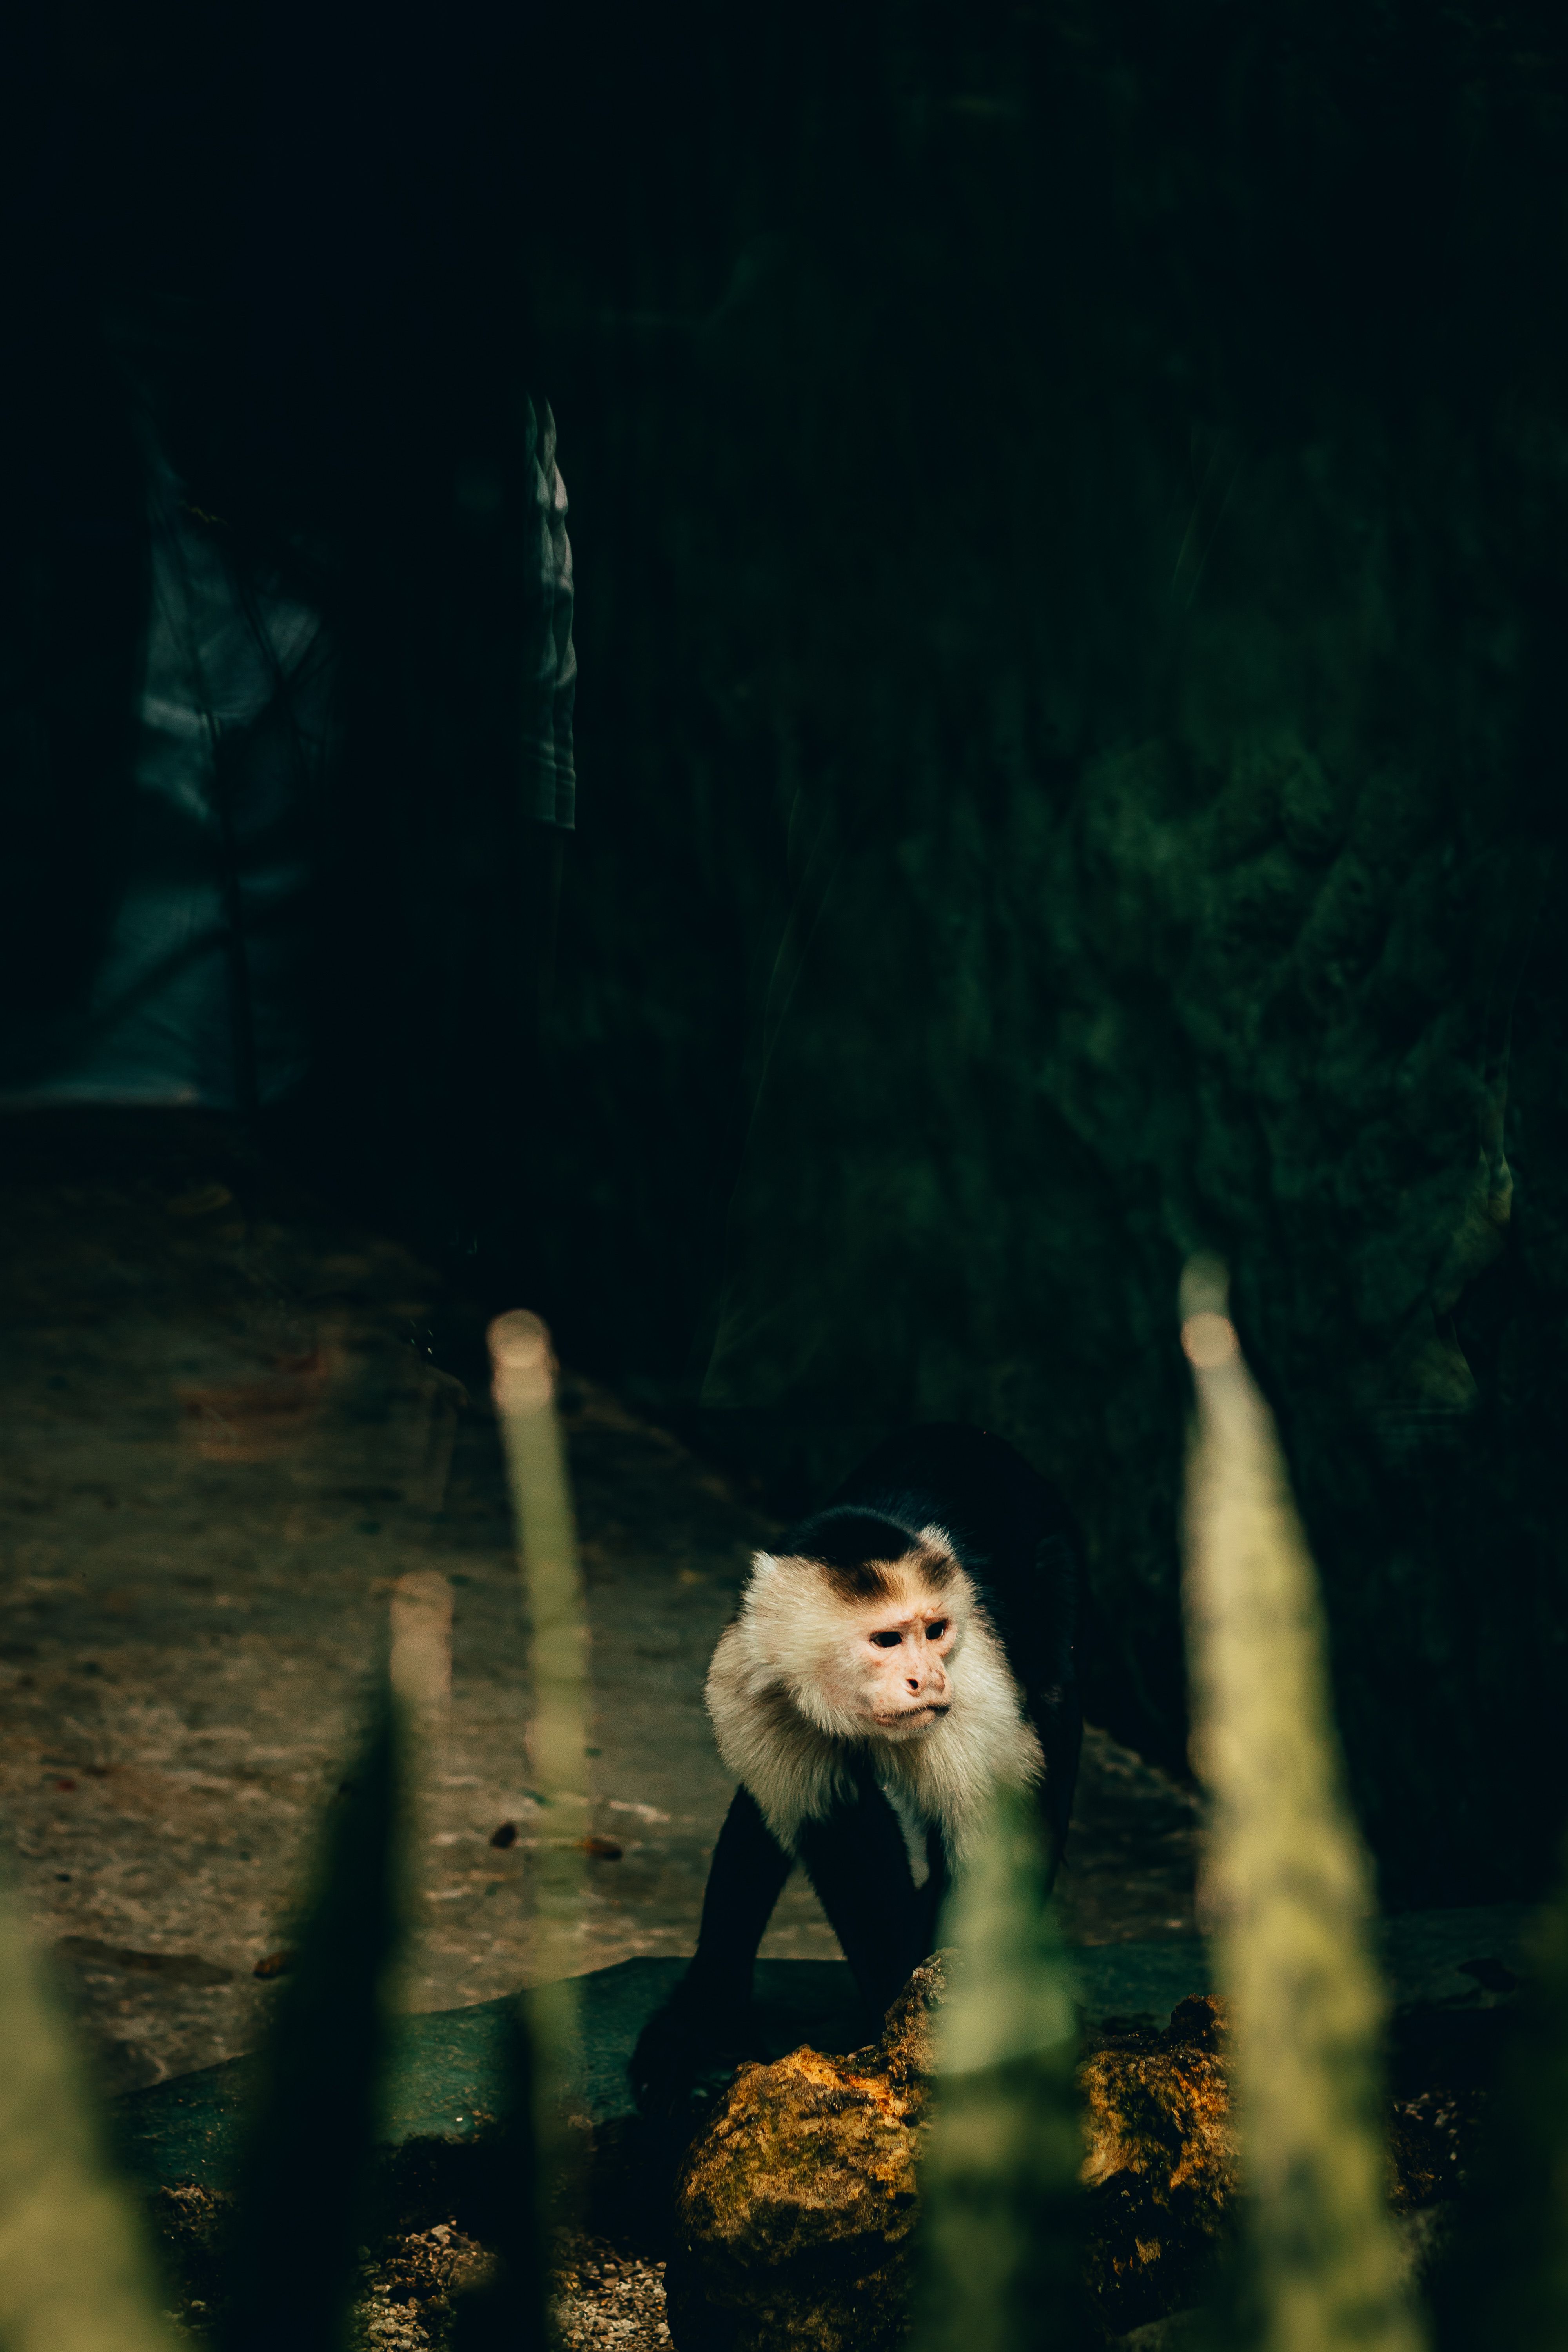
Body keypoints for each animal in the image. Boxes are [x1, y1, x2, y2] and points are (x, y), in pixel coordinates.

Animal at [630, 1422, 1083, 2113]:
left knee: (1053, 1705)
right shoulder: (754, 1677)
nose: (928, 1679)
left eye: (935, 1631)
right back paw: (706, 2016)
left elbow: (986, 1845)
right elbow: (840, 1833)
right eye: (886, 1641)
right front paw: (889, 2034)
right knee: (768, 1809)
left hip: (1055, 1564)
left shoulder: (973, 1679)